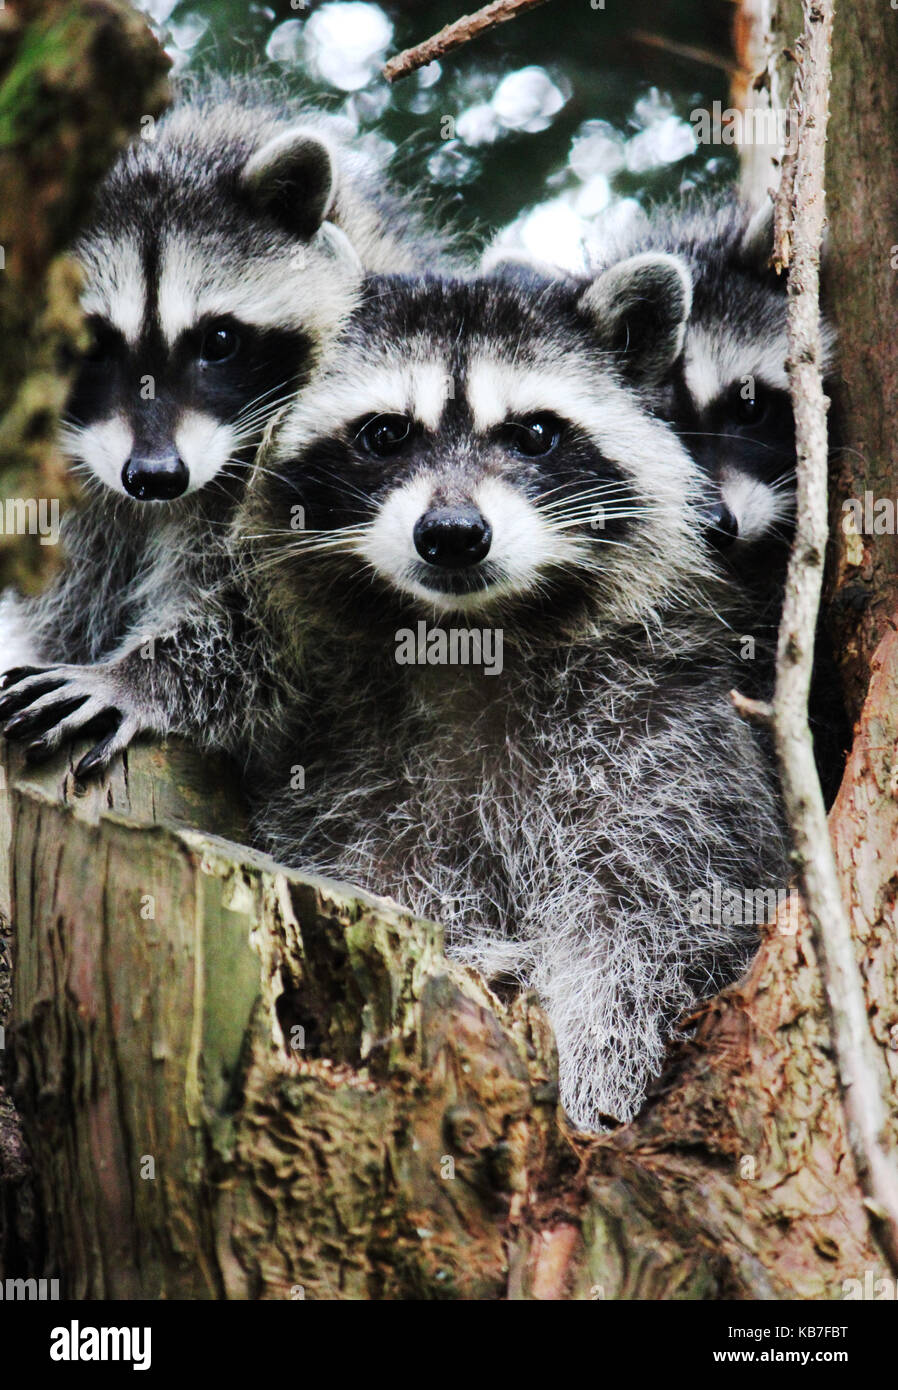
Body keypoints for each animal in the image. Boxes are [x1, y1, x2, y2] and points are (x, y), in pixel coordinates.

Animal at [0, 77, 456, 776]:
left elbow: (282, 626)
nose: (156, 476)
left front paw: (139, 675)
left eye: (218, 342)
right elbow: (74, 598)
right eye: (87, 346)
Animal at [234, 265, 789, 1129]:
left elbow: (664, 924)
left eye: (534, 434)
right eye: (387, 434)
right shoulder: (343, 776)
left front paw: (600, 1075)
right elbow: (382, 883)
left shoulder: (665, 742)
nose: (454, 532)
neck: (473, 636)